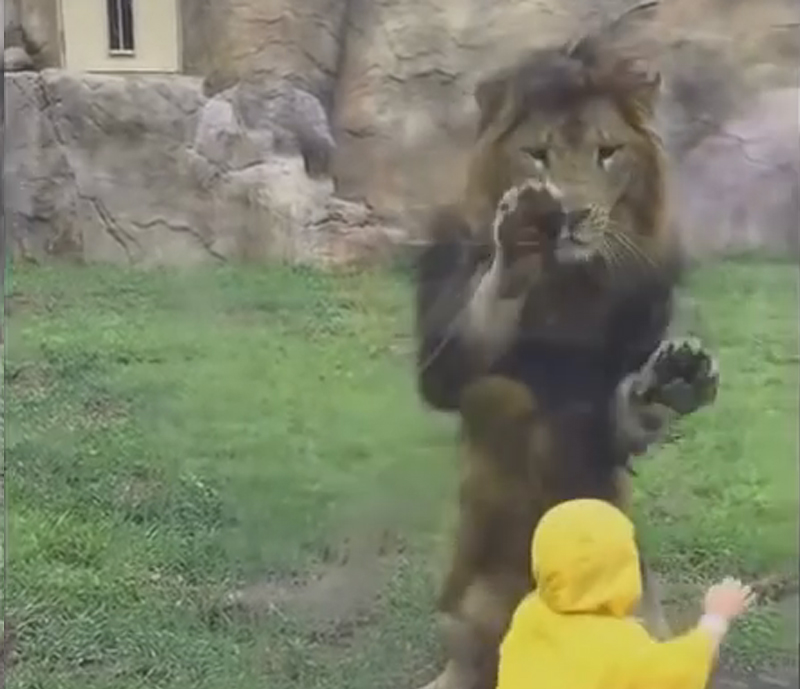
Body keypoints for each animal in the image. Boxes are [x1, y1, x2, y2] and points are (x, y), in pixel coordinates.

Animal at [412, 17, 719, 689]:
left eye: (608, 153)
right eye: (537, 154)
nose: (571, 214)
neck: (567, 286)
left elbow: (621, 416)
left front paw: (675, 379)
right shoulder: (439, 354)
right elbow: (469, 355)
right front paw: (517, 242)